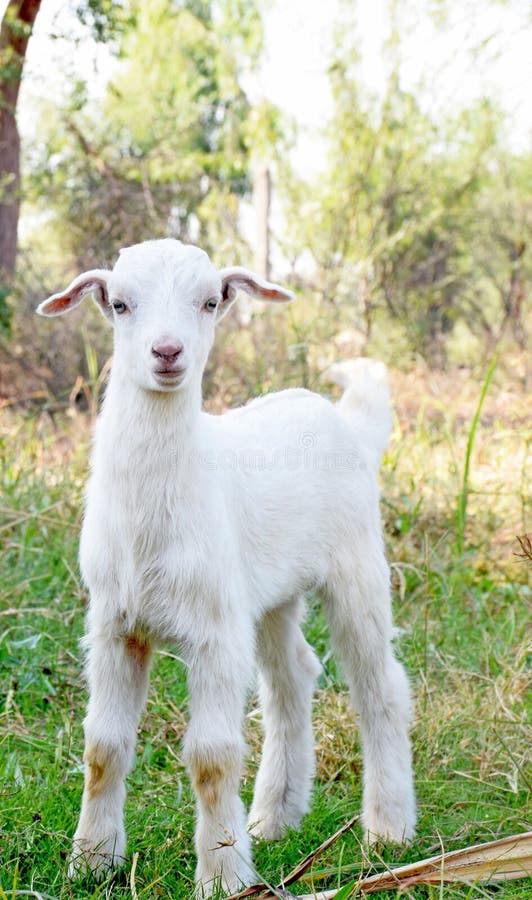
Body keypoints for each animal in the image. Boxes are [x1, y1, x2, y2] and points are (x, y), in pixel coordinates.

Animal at [37, 239, 416, 896]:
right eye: (119, 303)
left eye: (210, 301)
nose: (167, 352)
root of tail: (340, 417)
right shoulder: (114, 624)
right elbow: (102, 746)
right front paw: (91, 861)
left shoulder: (214, 633)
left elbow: (211, 757)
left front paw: (222, 874)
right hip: (269, 597)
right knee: (293, 677)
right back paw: (273, 818)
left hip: (356, 564)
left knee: (380, 687)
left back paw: (389, 828)